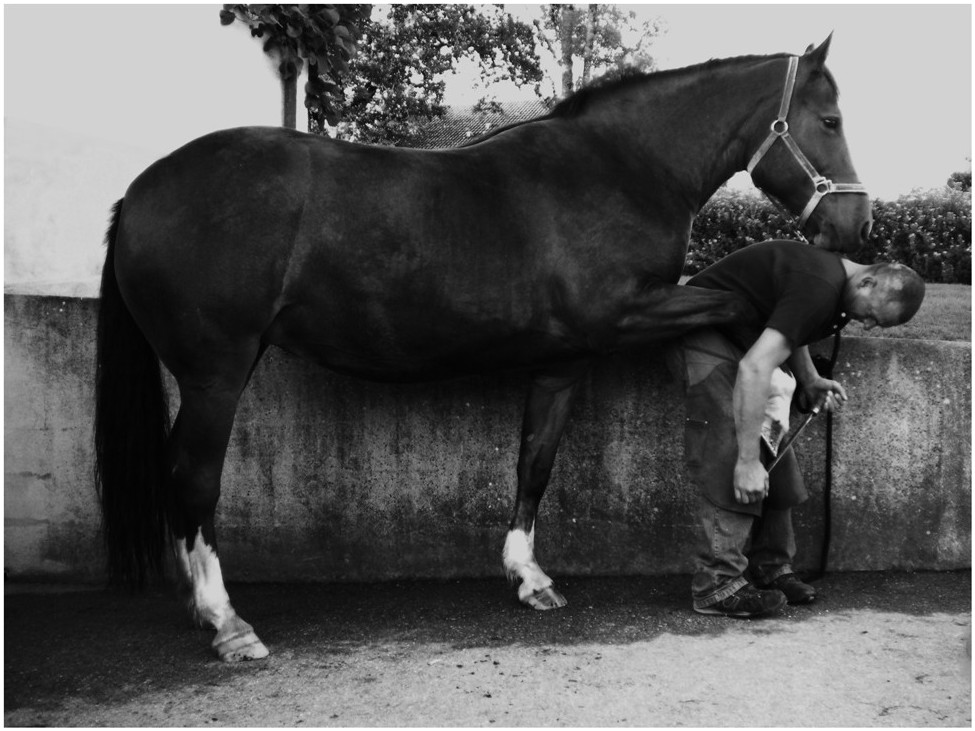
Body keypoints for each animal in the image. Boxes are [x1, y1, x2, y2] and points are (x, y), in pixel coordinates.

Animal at [95, 36, 871, 661]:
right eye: (830, 121)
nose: (856, 223)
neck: (615, 170)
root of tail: (136, 195)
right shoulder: (625, 313)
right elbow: (745, 306)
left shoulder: (562, 362)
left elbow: (534, 462)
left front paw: (529, 577)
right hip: (217, 373)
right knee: (195, 477)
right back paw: (227, 621)